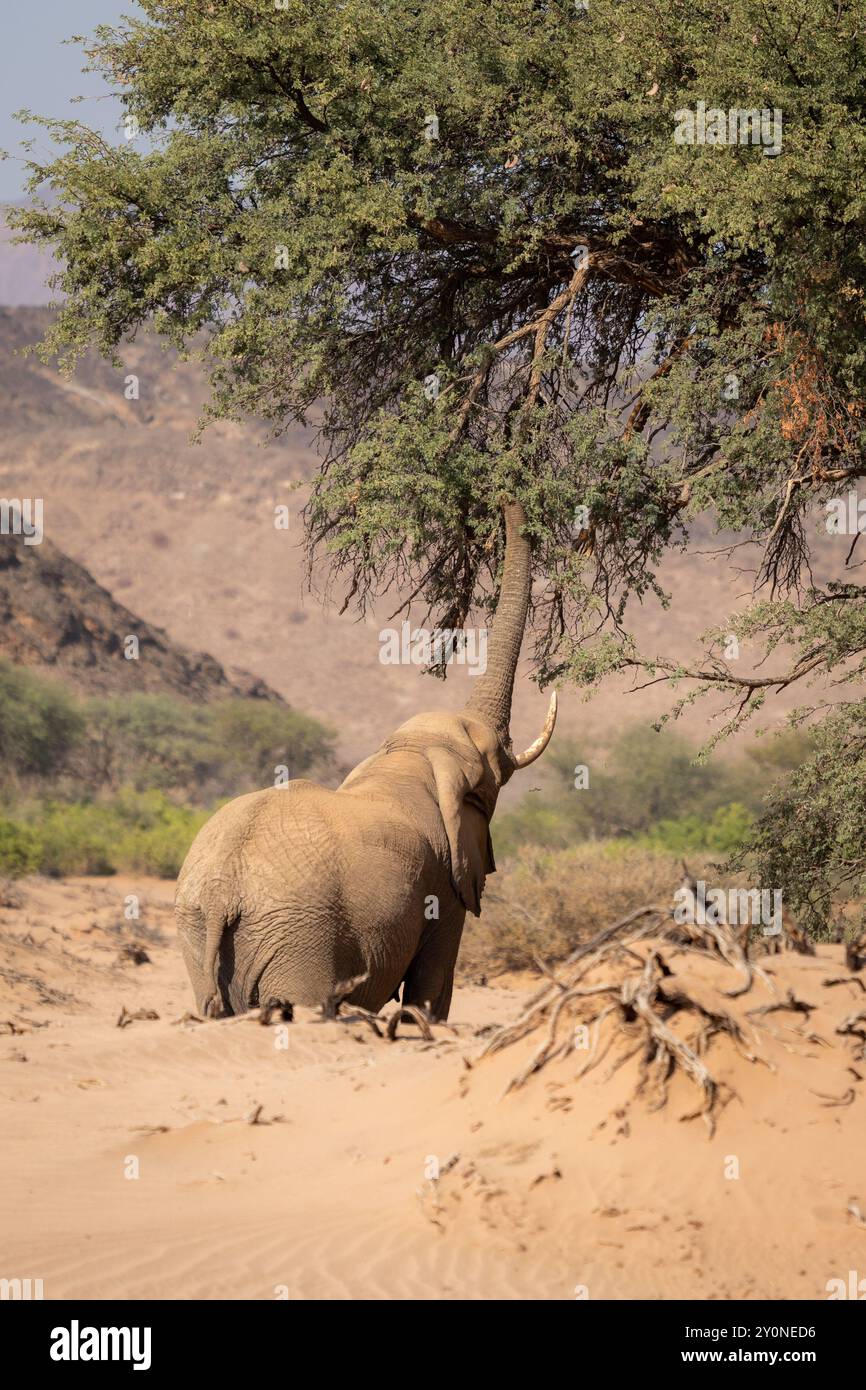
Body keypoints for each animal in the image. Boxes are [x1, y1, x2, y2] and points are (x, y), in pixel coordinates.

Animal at [175, 501, 557, 1022]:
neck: (411, 759)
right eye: (489, 783)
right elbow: (433, 983)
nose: (503, 498)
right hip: (299, 935)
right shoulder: (446, 885)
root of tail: (219, 894)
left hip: (200, 934)